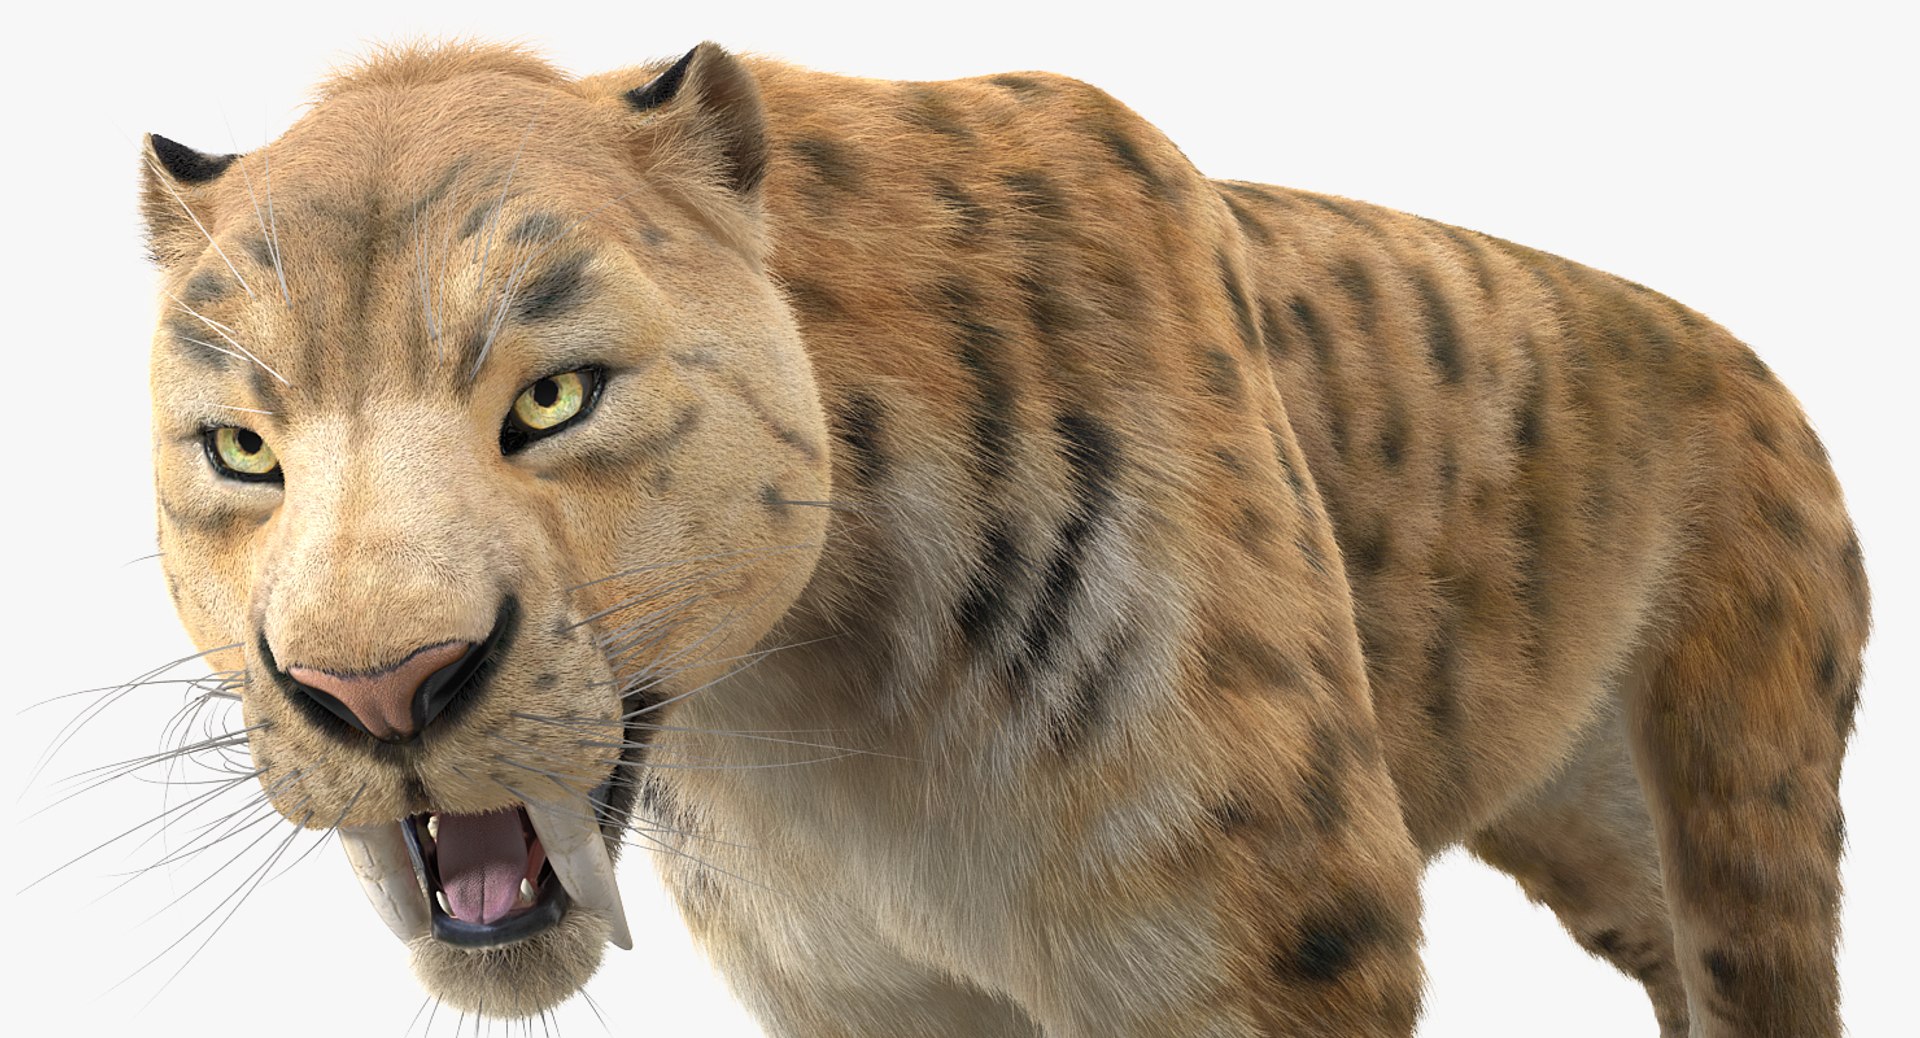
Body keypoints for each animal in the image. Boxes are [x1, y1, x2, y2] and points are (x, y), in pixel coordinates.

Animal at [137, 39, 1869, 1036]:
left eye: (554, 397)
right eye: (244, 450)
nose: (377, 690)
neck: (802, 723)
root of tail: (1745, 354)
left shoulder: (1269, 953)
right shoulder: (862, 1001)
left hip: (1747, 827)